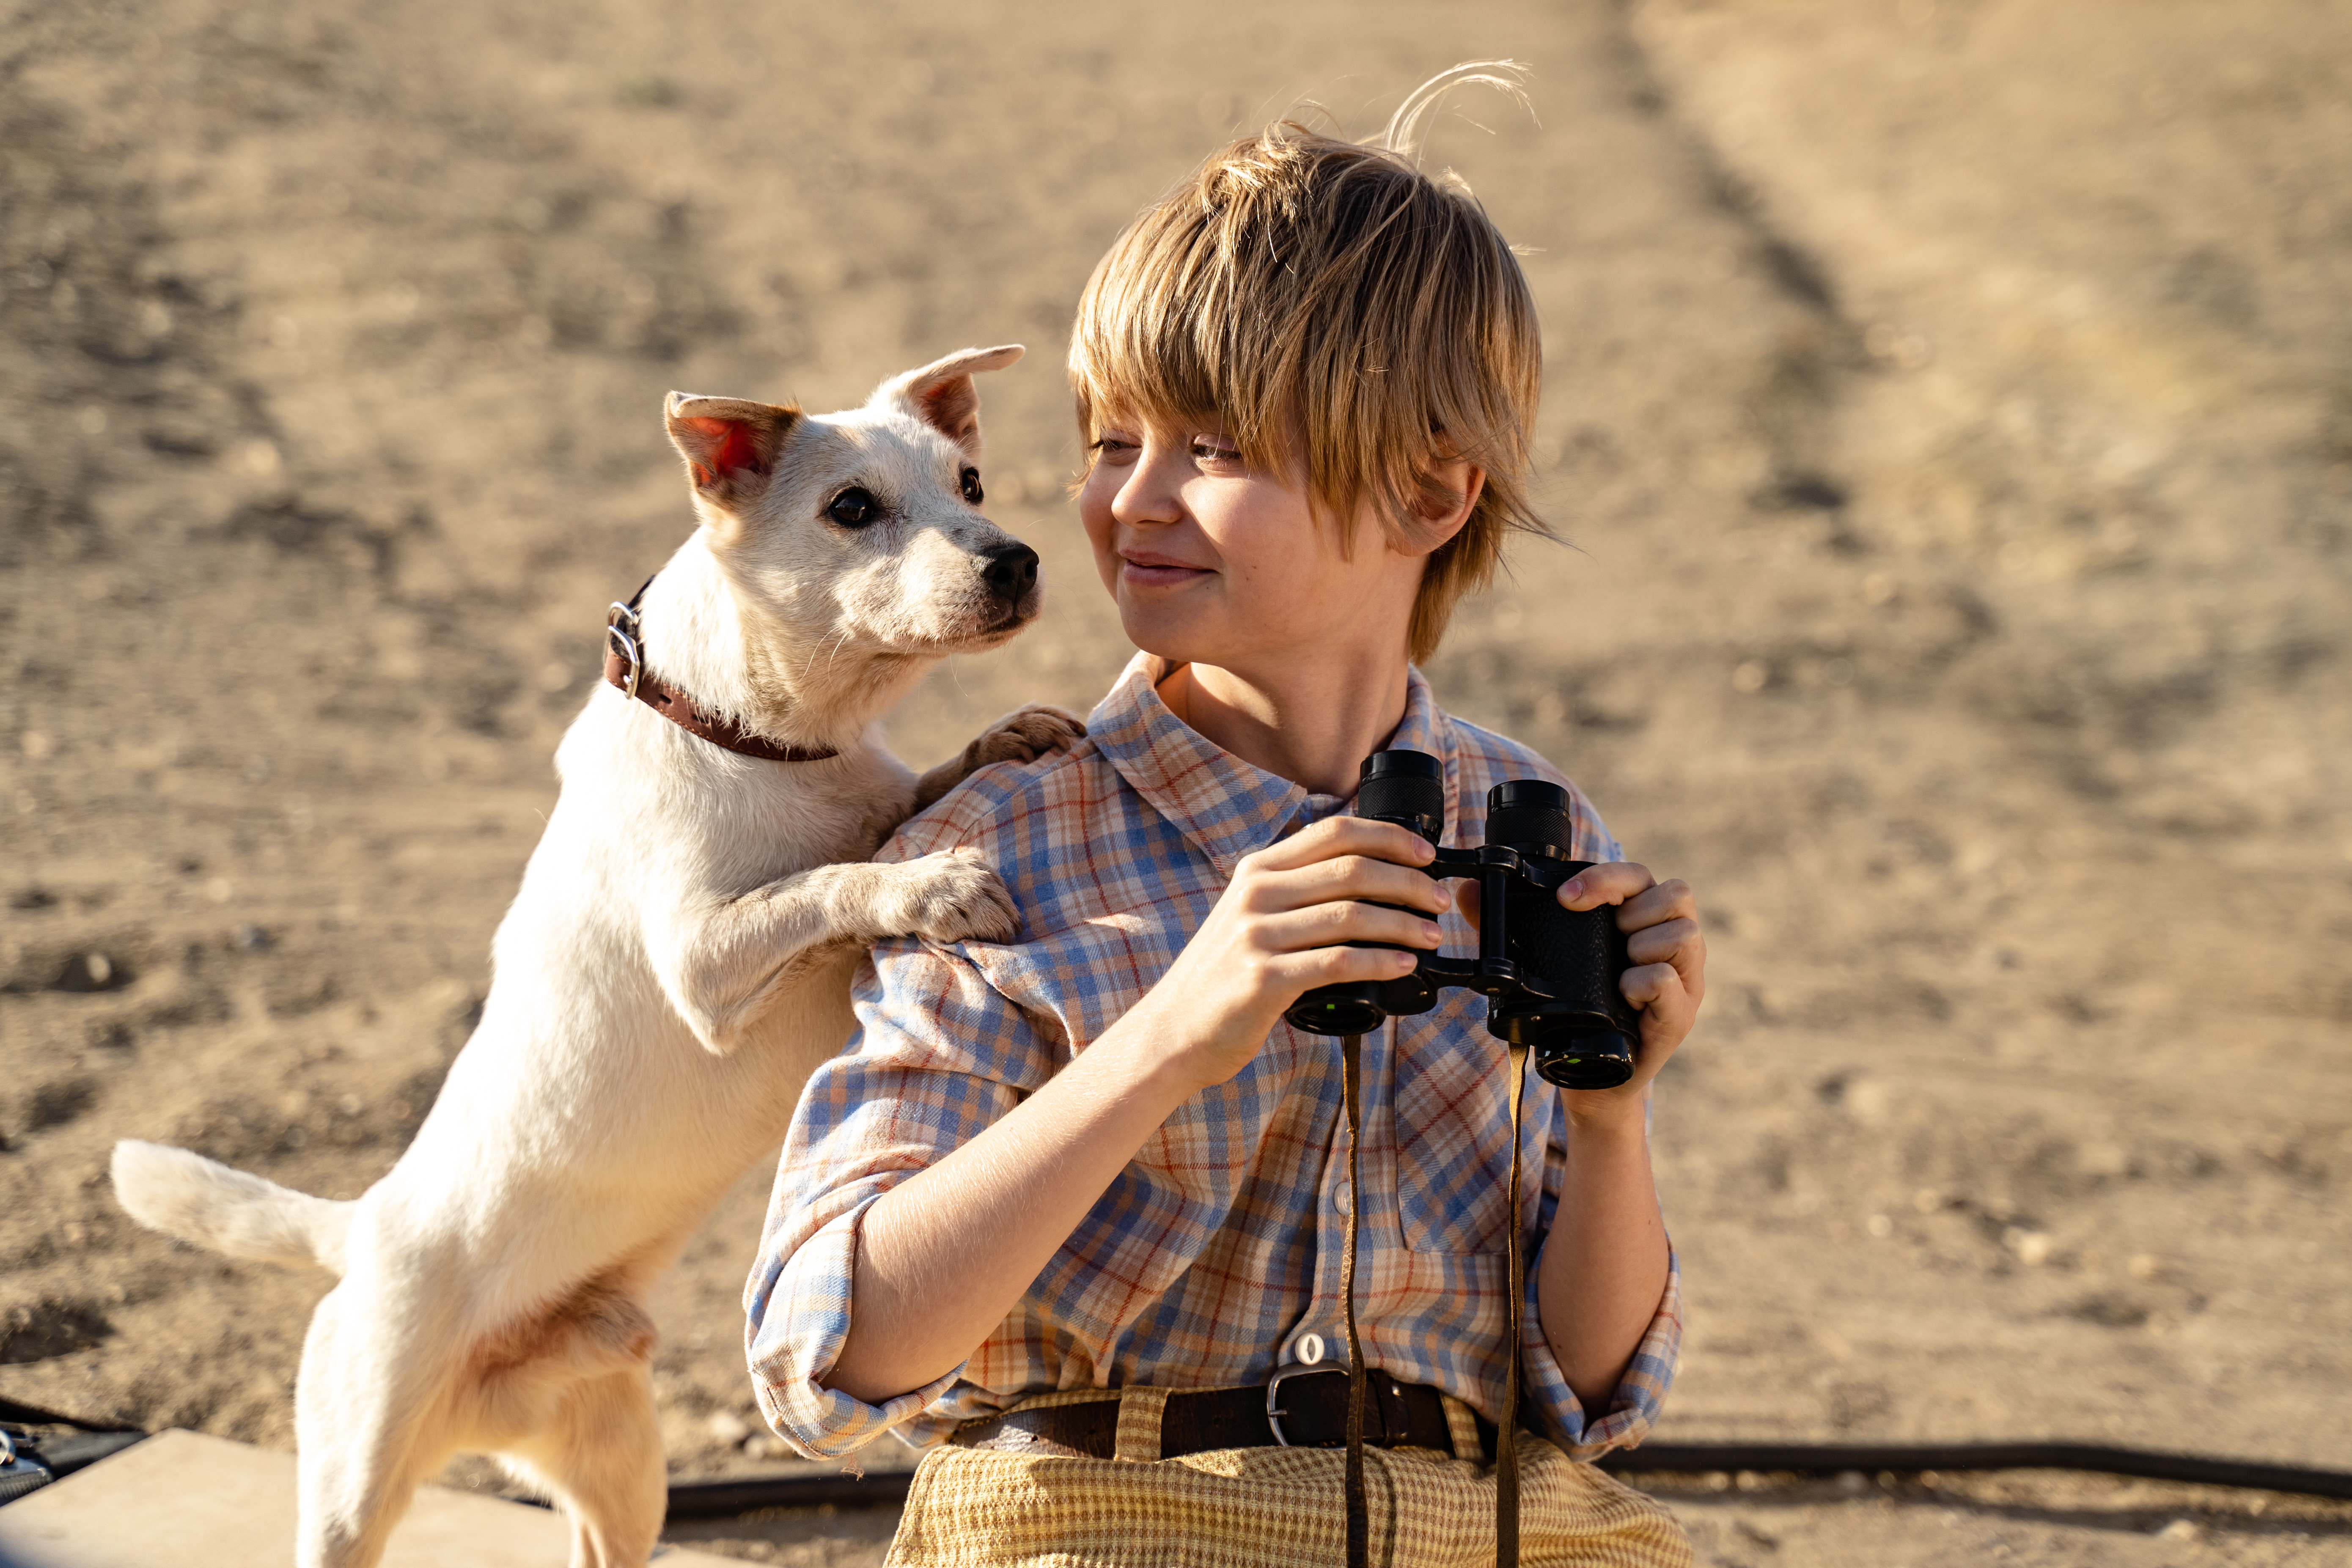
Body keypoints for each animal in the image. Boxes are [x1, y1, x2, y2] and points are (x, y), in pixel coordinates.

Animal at [106, 345, 1072, 1568]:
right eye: (852, 508)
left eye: (972, 484)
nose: (1016, 560)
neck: (751, 739)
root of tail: (361, 1226)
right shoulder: (705, 961)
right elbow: (832, 879)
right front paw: (930, 883)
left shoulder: (858, 799)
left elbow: (901, 802)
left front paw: (1001, 739)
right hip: (352, 1486)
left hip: (624, 1478)